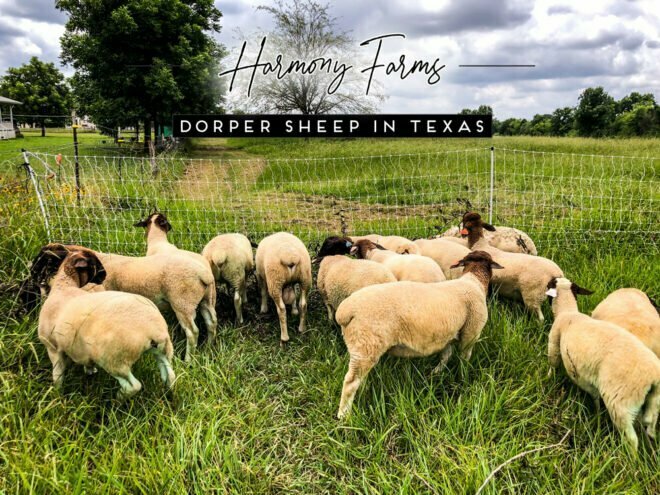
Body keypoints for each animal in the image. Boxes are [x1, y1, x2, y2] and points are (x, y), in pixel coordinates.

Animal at [33, 244, 175, 399]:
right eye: (94, 264)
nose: (105, 275)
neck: (65, 287)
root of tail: (152, 330)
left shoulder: (52, 347)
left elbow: (57, 374)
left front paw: (57, 393)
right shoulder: (80, 349)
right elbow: (85, 362)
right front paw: (90, 371)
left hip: (113, 360)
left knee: (133, 385)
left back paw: (118, 397)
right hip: (162, 350)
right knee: (169, 375)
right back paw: (168, 393)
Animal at [335, 251, 504, 418]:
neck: (474, 281)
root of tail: (345, 311)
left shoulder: (447, 334)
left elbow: (445, 356)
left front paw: (437, 373)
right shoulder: (471, 333)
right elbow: (464, 358)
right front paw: (463, 376)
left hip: (362, 347)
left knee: (358, 378)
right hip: (366, 345)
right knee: (350, 382)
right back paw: (344, 415)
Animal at [546, 277, 660, 451]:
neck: (569, 312)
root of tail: (653, 377)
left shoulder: (555, 340)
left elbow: (552, 361)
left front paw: (548, 378)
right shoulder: (586, 376)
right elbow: (594, 395)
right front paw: (597, 413)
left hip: (620, 405)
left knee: (632, 439)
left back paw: (628, 456)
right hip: (655, 399)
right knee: (650, 424)